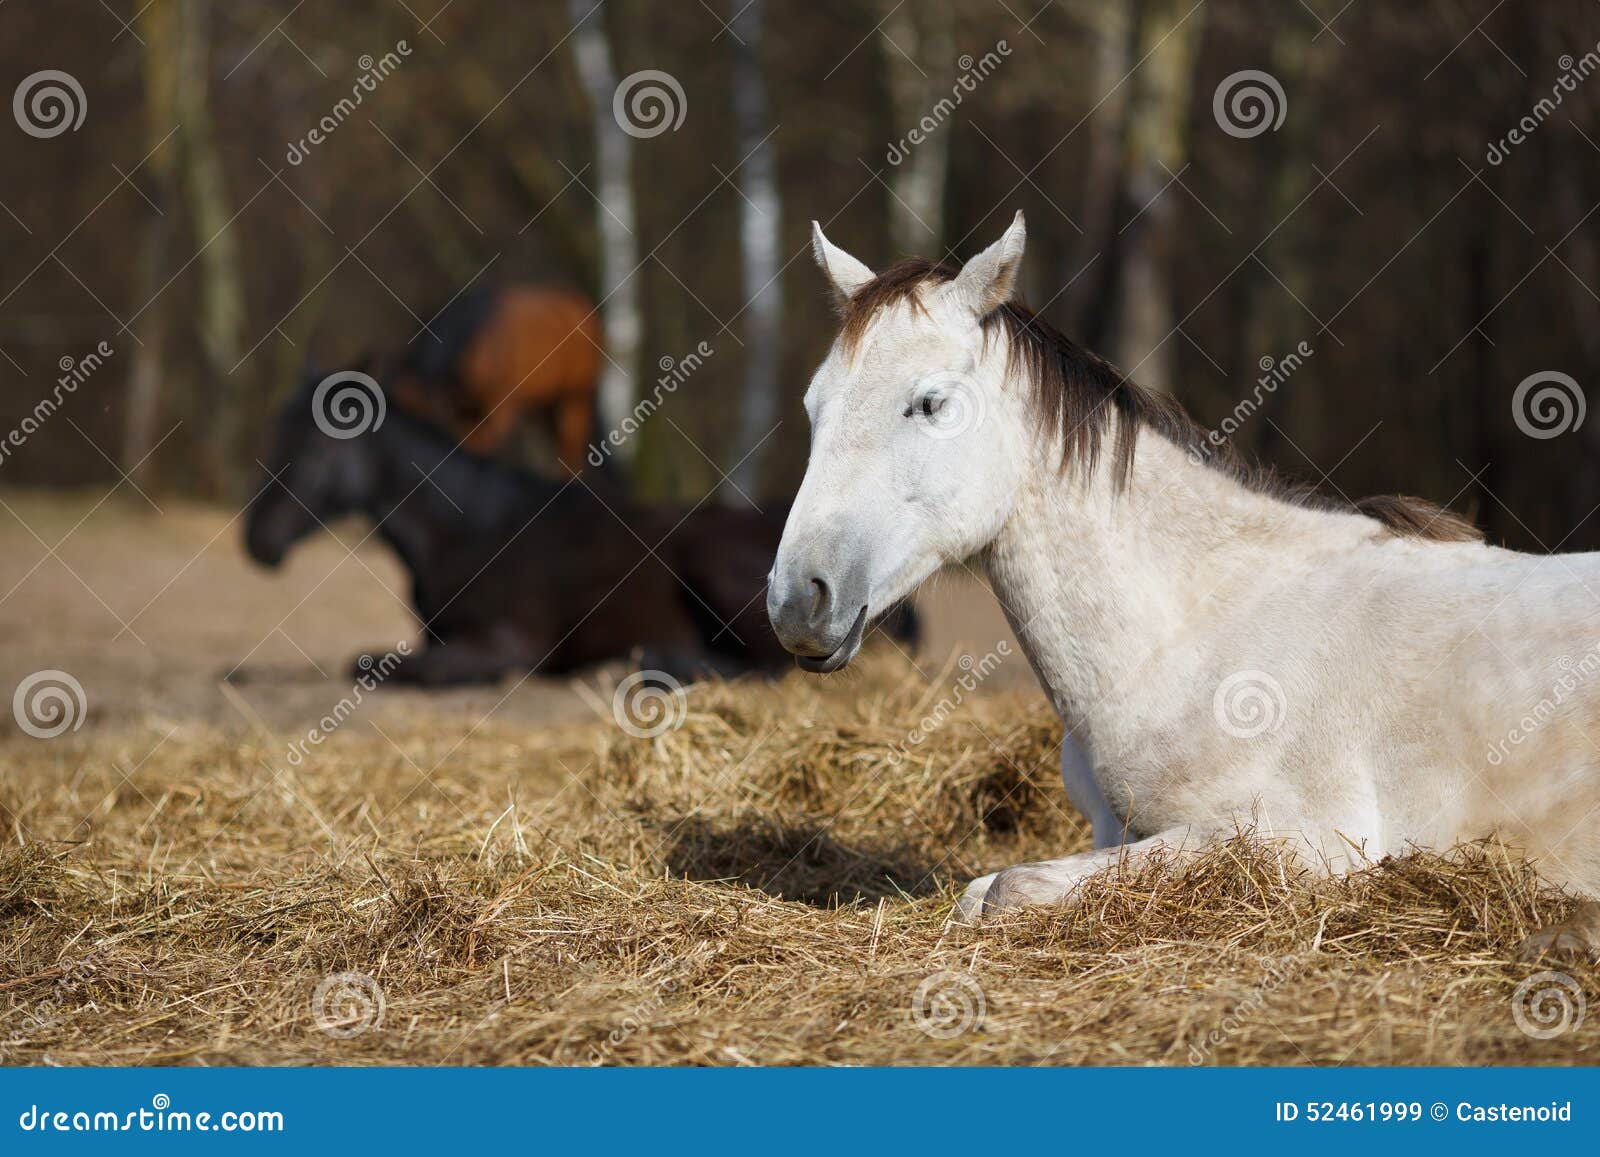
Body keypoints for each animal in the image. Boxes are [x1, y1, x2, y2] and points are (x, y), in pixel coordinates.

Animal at [244, 368, 916, 686]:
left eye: (317, 449)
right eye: (275, 434)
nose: (258, 541)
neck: (473, 531)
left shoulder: (507, 644)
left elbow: (378, 667)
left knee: (768, 667)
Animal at [766, 210, 1599, 960]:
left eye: (930, 402)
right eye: (813, 405)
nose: (797, 599)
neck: (1198, 633)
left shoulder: (1303, 843)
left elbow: (1004, 889)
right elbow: (983, 891)